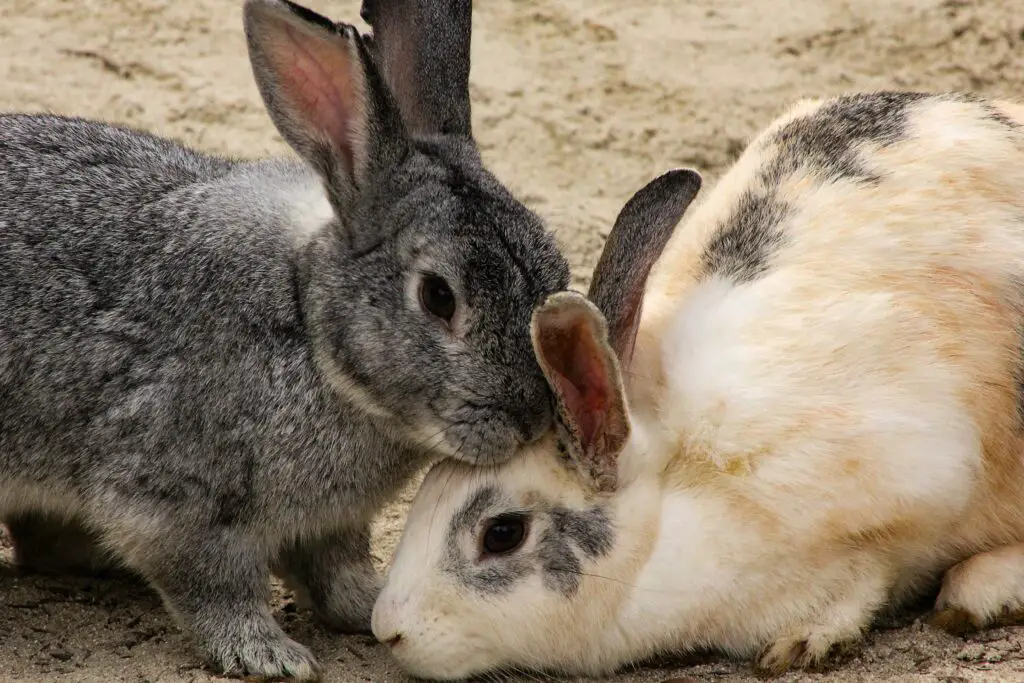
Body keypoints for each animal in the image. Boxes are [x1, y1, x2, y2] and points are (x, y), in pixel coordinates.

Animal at [0, 0, 571, 679]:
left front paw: (370, 608)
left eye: (556, 271)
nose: (531, 418)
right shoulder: (175, 502)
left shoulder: (330, 525)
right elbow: (213, 587)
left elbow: (334, 573)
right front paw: (269, 654)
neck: (308, 325)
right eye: (439, 296)